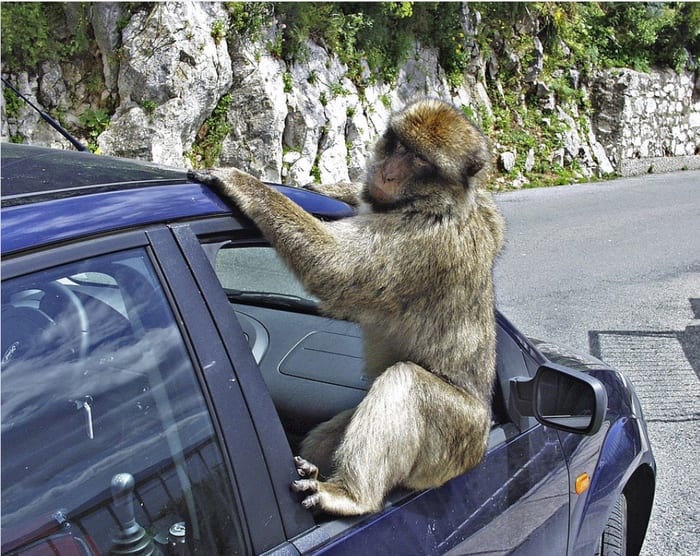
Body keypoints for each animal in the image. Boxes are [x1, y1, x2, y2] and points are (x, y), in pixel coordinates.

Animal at [189, 98, 505, 516]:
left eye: (419, 160)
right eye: (399, 145)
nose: (387, 172)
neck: (439, 202)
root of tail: (485, 436)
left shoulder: (421, 241)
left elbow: (335, 269)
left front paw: (242, 182)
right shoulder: (483, 210)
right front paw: (328, 187)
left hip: (454, 440)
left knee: (406, 382)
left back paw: (352, 496)